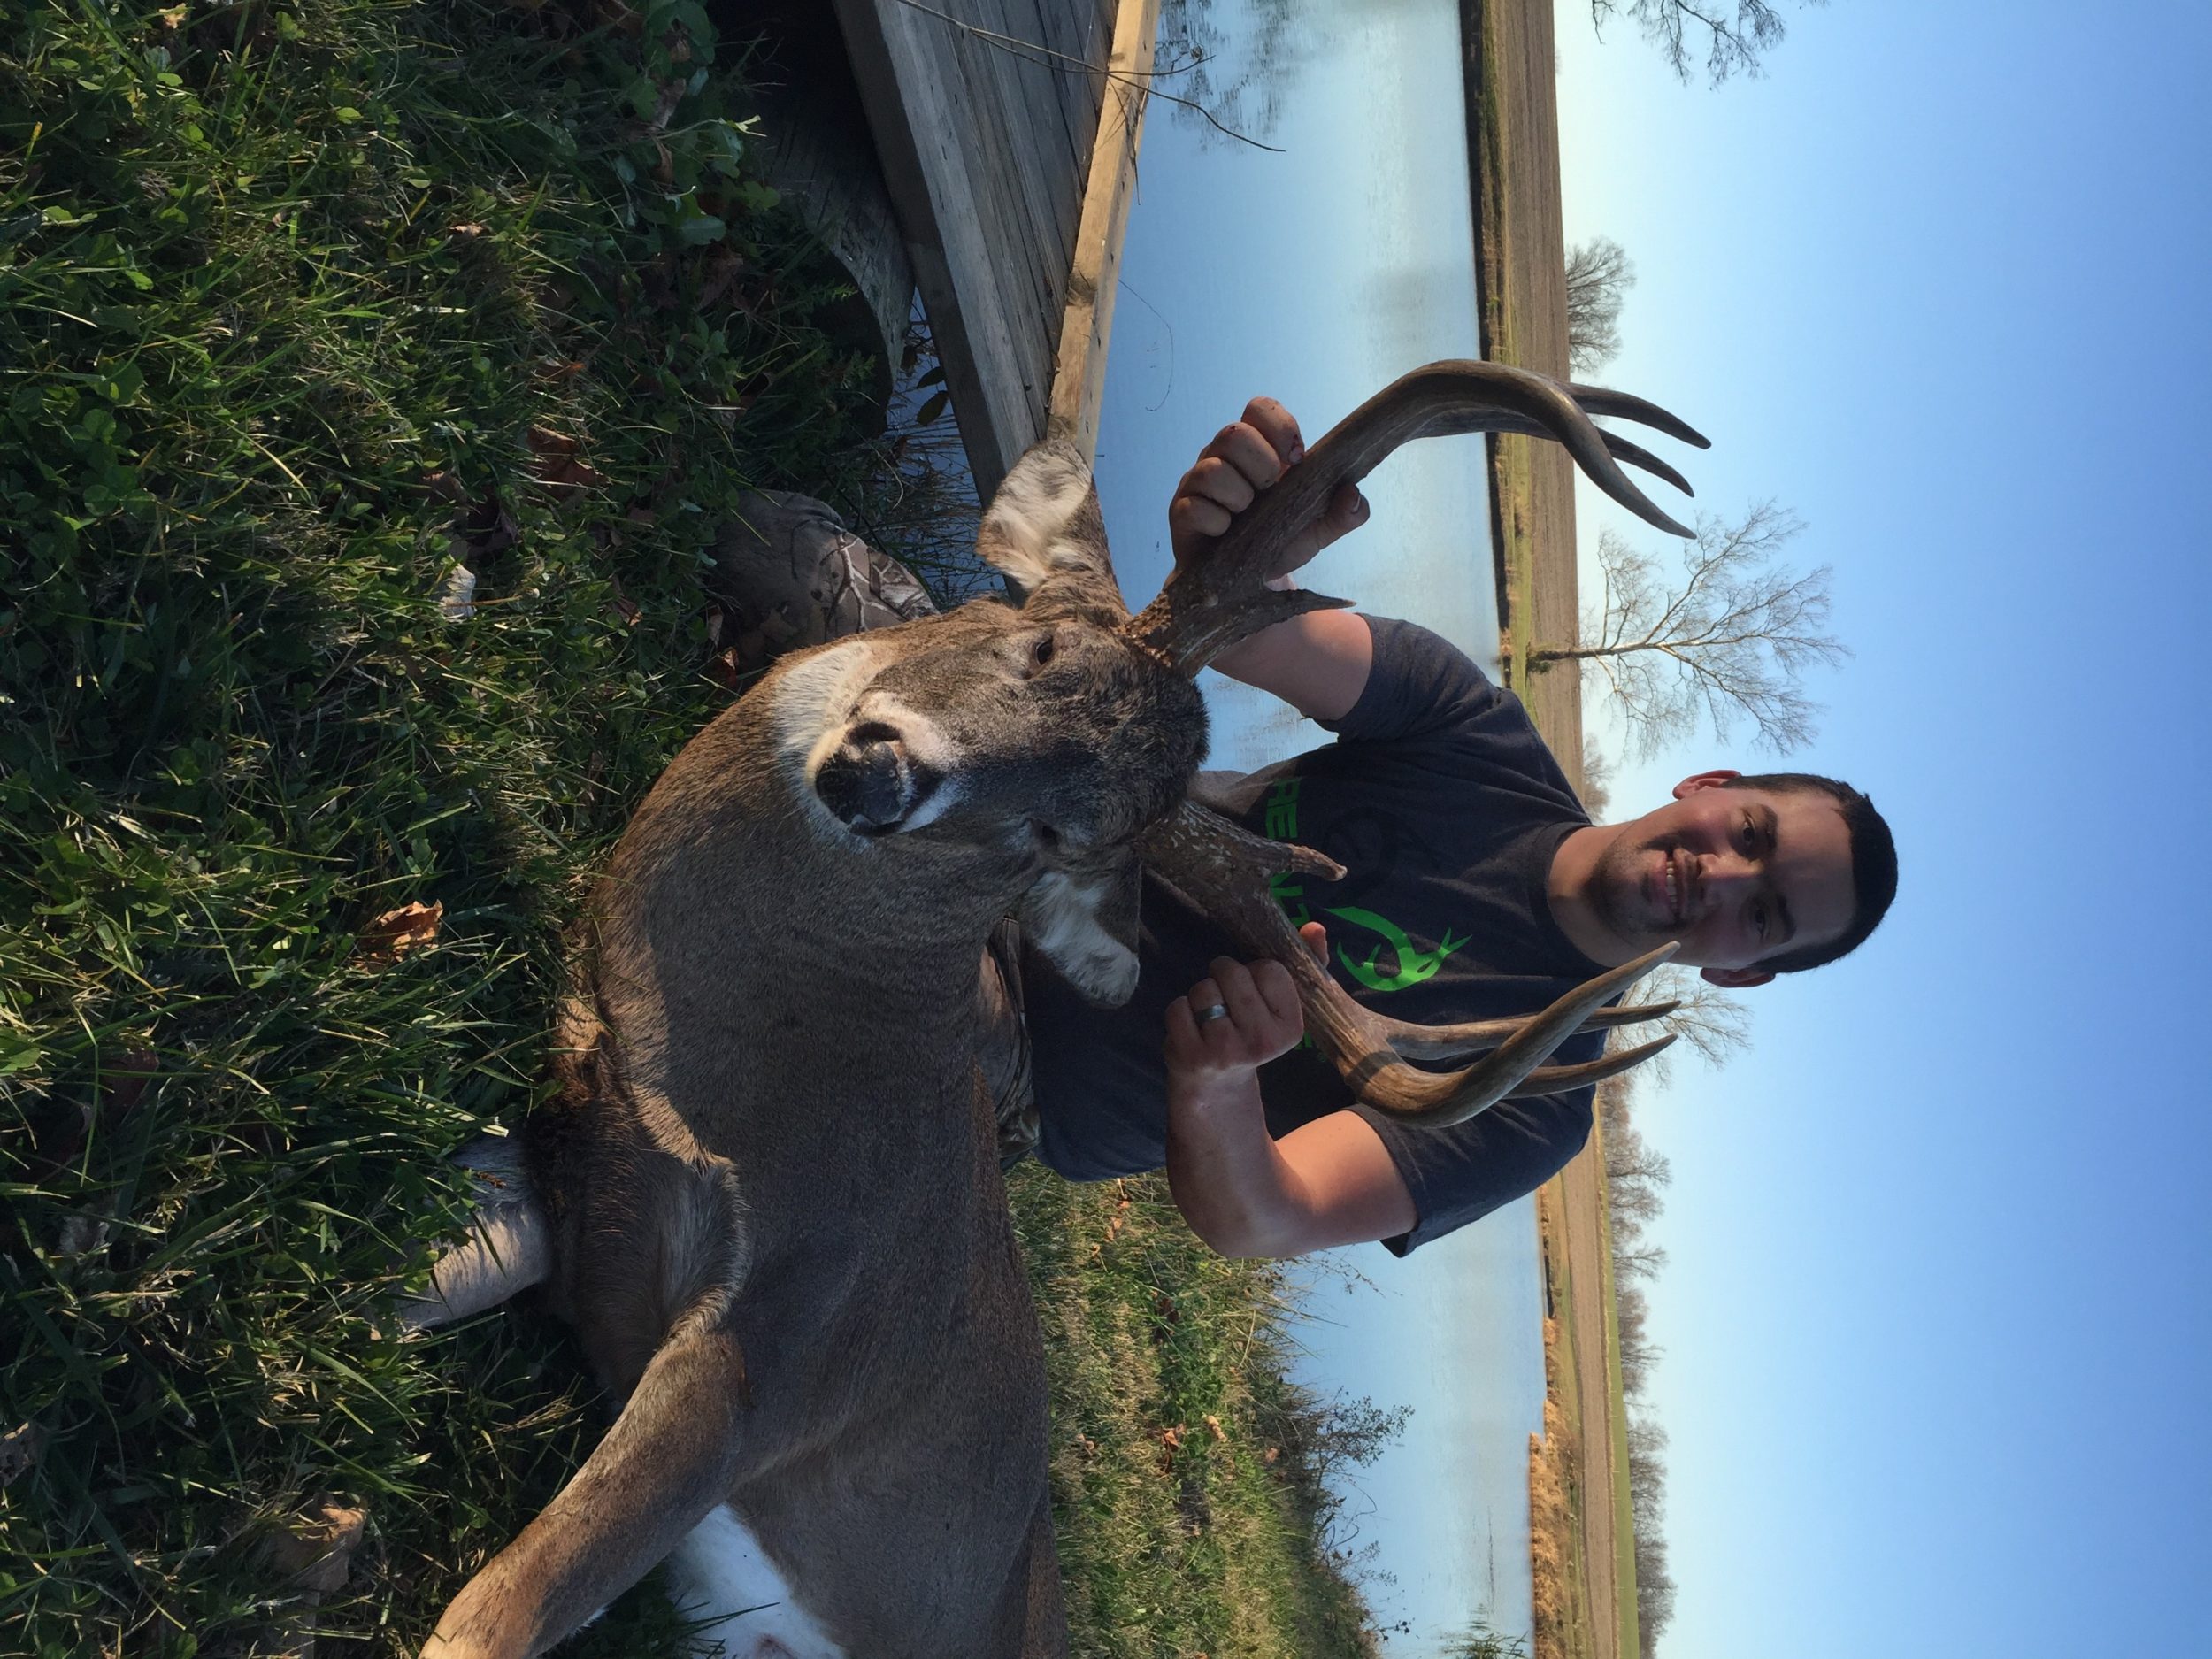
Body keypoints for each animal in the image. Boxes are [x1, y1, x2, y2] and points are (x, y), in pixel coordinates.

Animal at [400, 360, 1708, 1659]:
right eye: (1034, 645)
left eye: (1060, 836)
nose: (879, 771)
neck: (732, 1048)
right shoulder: (584, 1134)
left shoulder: (781, 1343)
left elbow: (488, 1616)